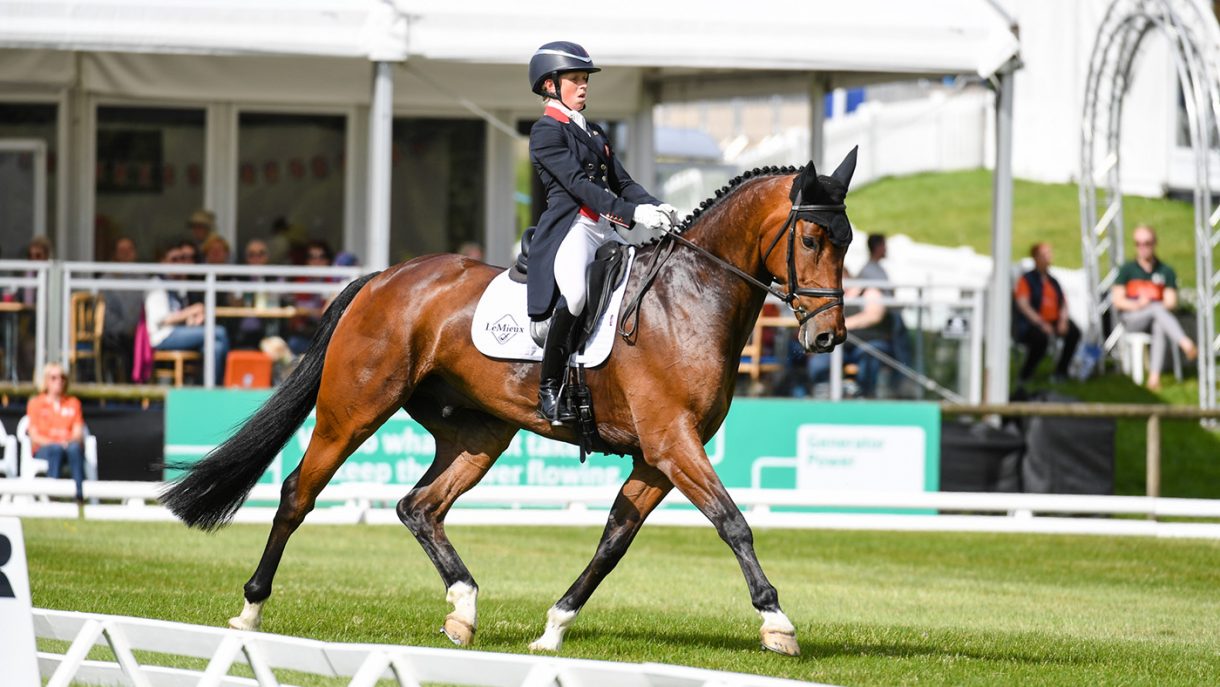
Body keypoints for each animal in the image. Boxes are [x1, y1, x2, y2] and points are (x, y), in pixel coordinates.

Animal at [162, 147, 858, 657]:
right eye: (812, 241)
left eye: (848, 241)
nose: (828, 338)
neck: (685, 299)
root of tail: (385, 278)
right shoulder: (671, 442)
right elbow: (733, 521)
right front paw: (778, 623)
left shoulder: (657, 458)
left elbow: (614, 540)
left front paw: (553, 626)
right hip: (351, 412)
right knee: (297, 494)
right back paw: (250, 611)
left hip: (478, 433)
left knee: (419, 506)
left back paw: (464, 610)